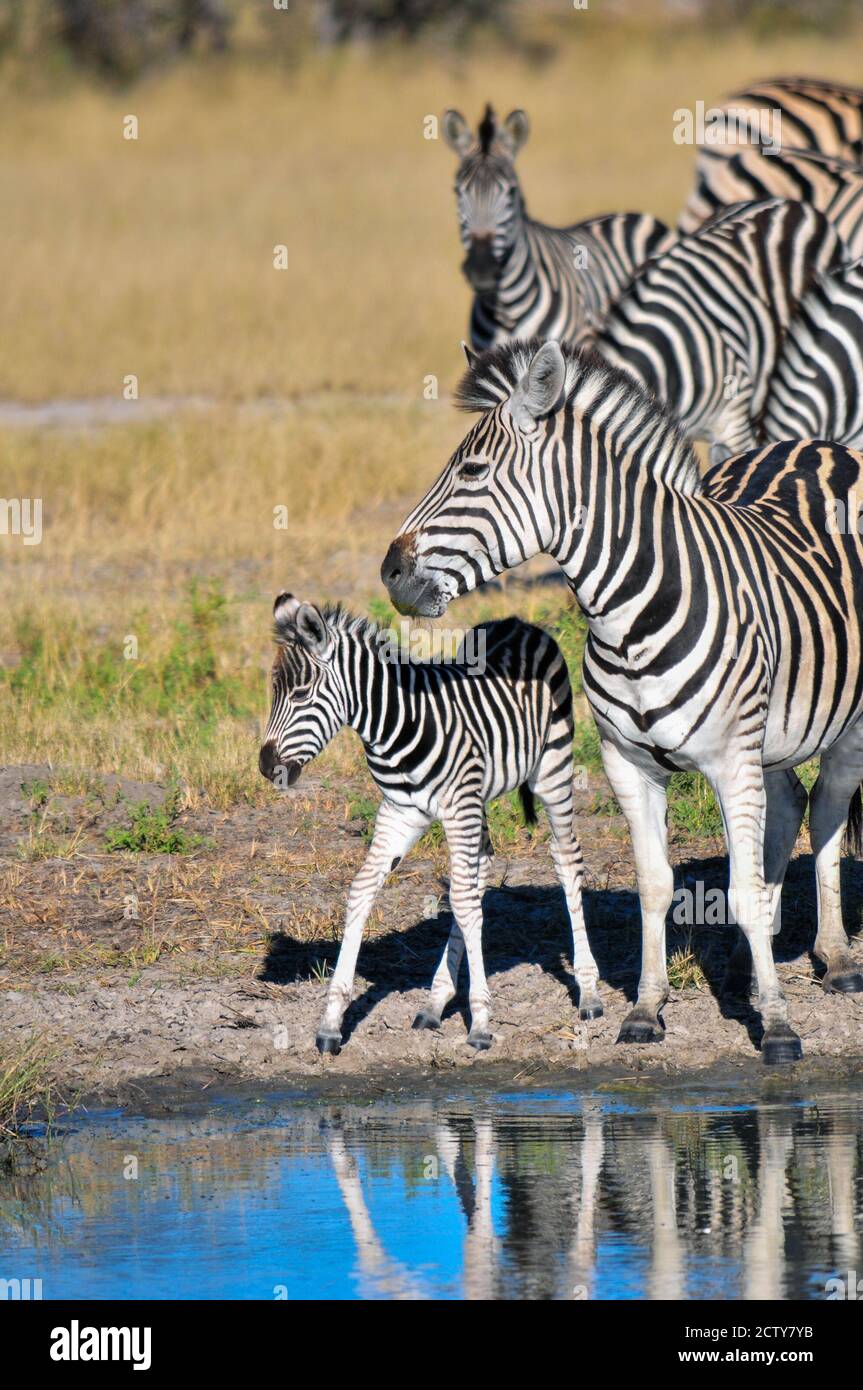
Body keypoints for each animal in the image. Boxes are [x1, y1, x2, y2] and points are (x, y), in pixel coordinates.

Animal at [258, 593, 603, 1054]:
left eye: (300, 694)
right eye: (275, 692)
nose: (265, 767)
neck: (394, 727)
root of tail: (519, 621)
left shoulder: (457, 808)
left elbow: (464, 902)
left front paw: (481, 1022)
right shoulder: (399, 812)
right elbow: (363, 890)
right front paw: (332, 1020)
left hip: (553, 767)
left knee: (566, 861)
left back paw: (589, 992)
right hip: (478, 798)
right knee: (480, 868)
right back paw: (436, 1001)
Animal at [380, 339, 863, 1064]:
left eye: (471, 471)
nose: (389, 570)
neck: (633, 611)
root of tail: (823, 444)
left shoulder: (729, 759)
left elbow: (744, 890)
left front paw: (777, 1027)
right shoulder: (627, 763)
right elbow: (656, 884)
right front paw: (645, 1009)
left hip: (840, 723)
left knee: (828, 805)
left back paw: (834, 959)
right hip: (774, 732)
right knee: (791, 805)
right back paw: (748, 966)